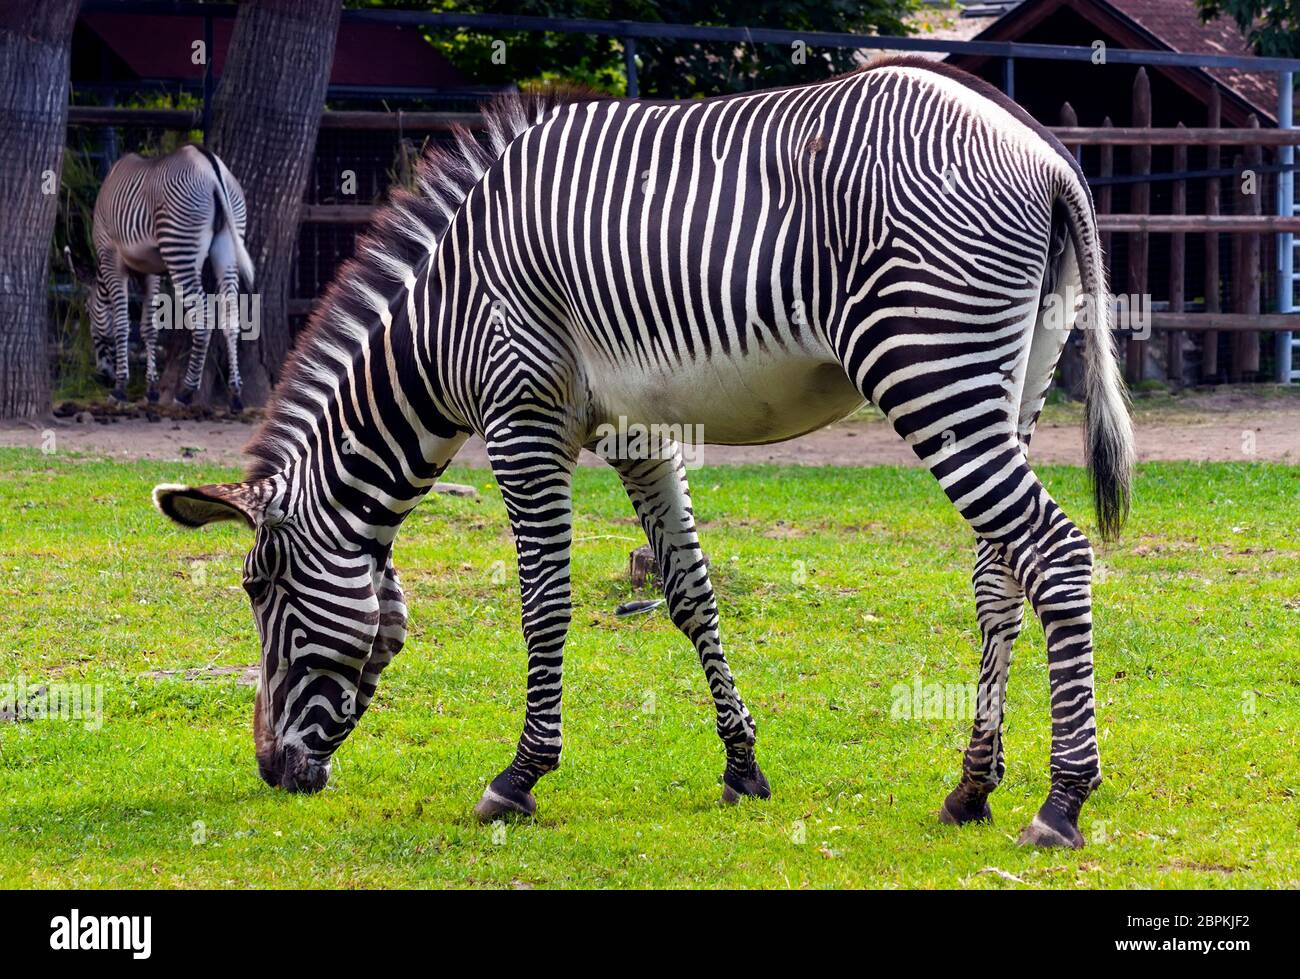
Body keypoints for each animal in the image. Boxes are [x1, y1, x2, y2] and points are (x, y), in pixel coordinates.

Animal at [90, 144, 254, 409]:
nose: (103, 377)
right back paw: (236, 396)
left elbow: (122, 324)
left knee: (204, 318)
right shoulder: (151, 271)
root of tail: (210, 165)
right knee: (231, 317)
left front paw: (120, 388)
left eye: (90, 318)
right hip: (228, 244)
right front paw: (151, 390)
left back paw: (186, 392)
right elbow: (148, 328)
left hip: (179, 247)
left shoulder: (111, 257)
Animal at [153, 58, 1134, 850]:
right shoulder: (642, 434)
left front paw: (518, 777)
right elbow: (690, 594)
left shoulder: (521, 417)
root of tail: (1045, 154)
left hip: (928, 364)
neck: (446, 318)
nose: (273, 770)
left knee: (1055, 551)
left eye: (259, 589)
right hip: (1015, 373)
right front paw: (742, 764)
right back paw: (971, 787)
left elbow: (544, 604)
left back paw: (1062, 802)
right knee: (997, 571)